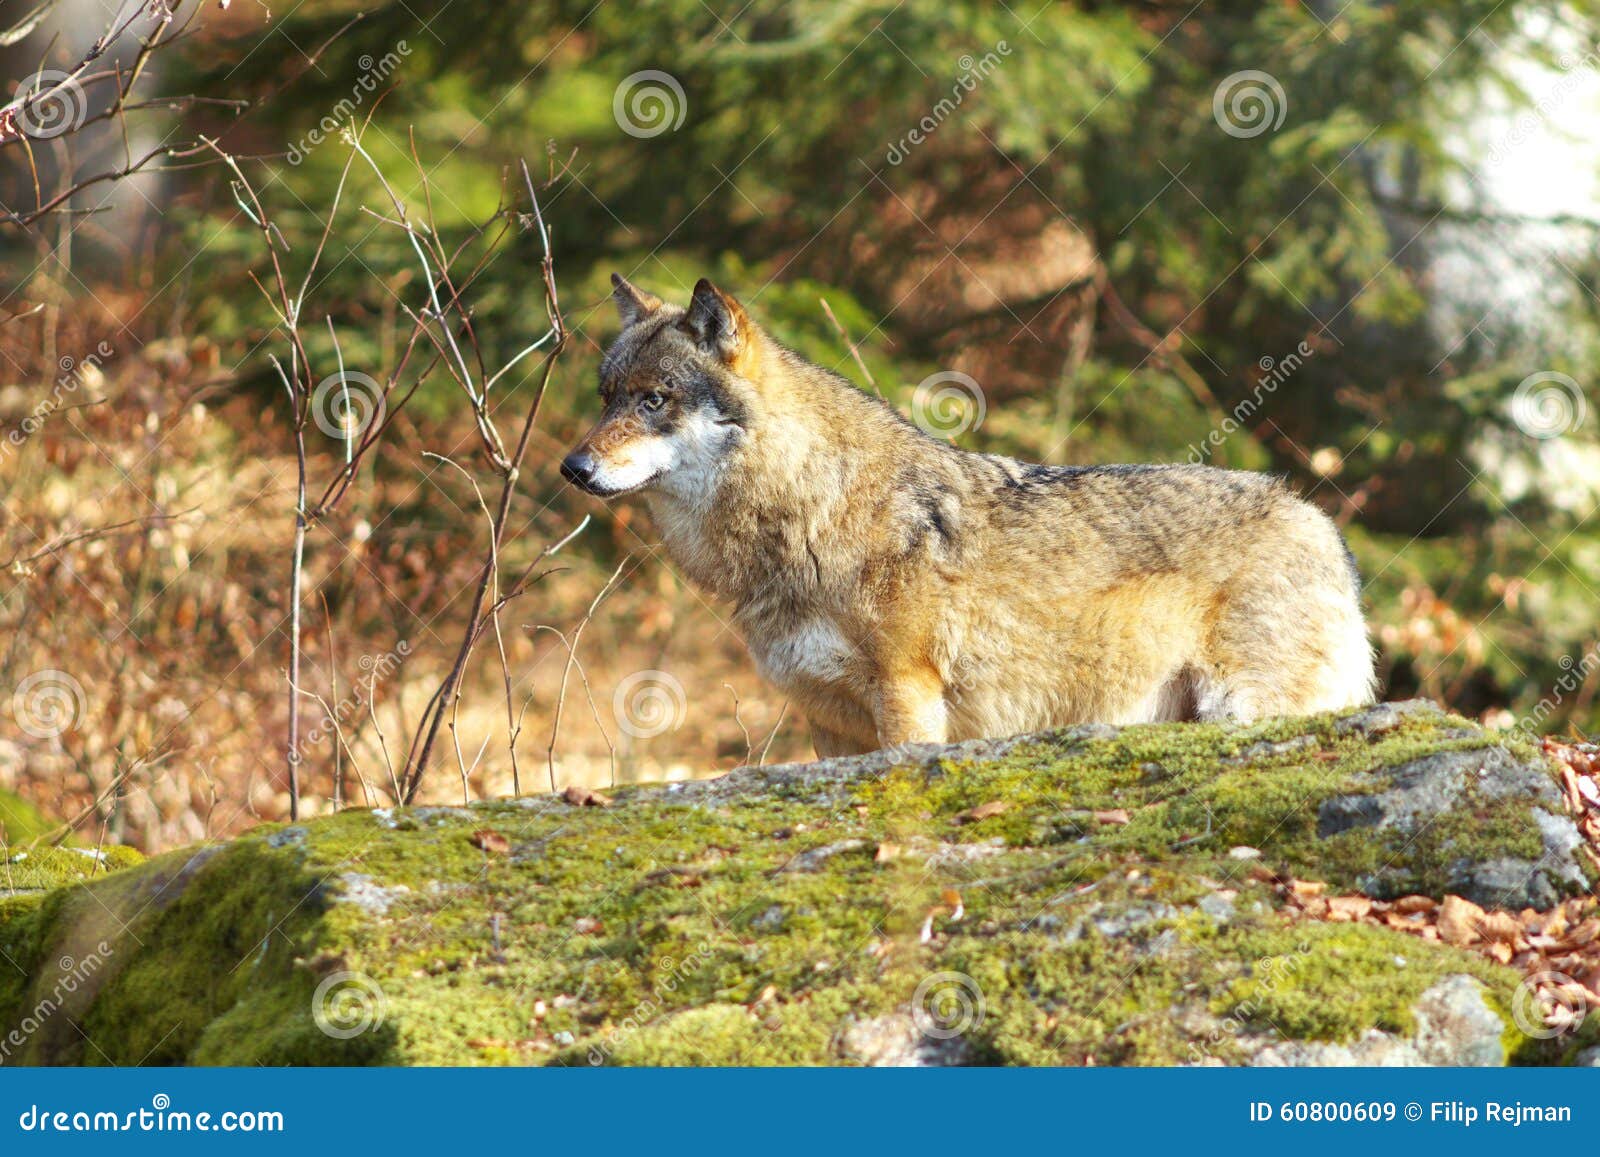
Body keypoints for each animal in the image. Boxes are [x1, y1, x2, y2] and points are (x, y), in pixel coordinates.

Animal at [562, 275, 1378, 757]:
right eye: (606, 398)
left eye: (654, 400)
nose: (573, 467)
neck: (810, 511)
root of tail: (1317, 519)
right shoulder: (827, 726)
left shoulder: (907, 693)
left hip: (1244, 708)